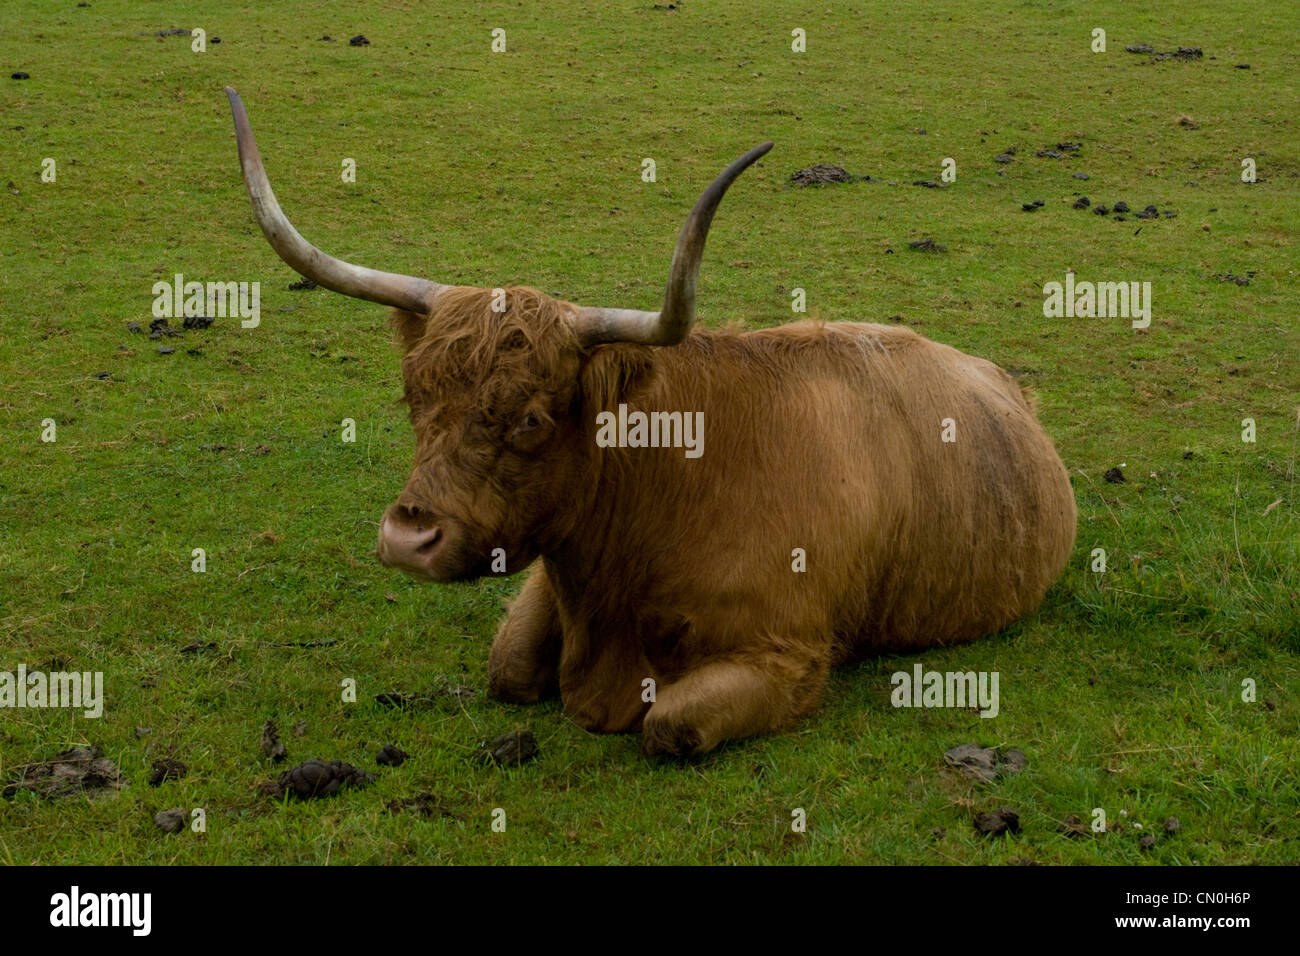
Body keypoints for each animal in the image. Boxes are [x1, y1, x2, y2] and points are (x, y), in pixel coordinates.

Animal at [225, 88, 1077, 756]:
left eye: (531, 419)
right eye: (414, 399)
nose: (409, 538)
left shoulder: (788, 655)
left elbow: (669, 725)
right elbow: (508, 668)